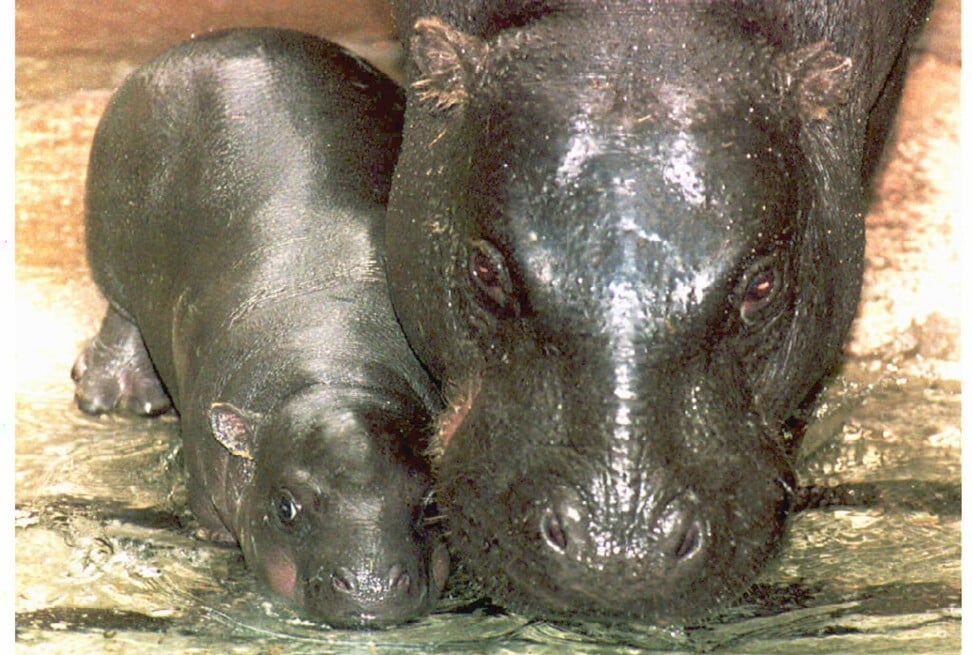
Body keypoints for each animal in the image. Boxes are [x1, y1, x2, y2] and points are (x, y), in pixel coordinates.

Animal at [71, 28, 448, 627]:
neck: (336, 364)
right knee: (120, 318)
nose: (371, 589)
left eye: (432, 506)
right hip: (111, 248)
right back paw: (115, 399)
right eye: (286, 507)